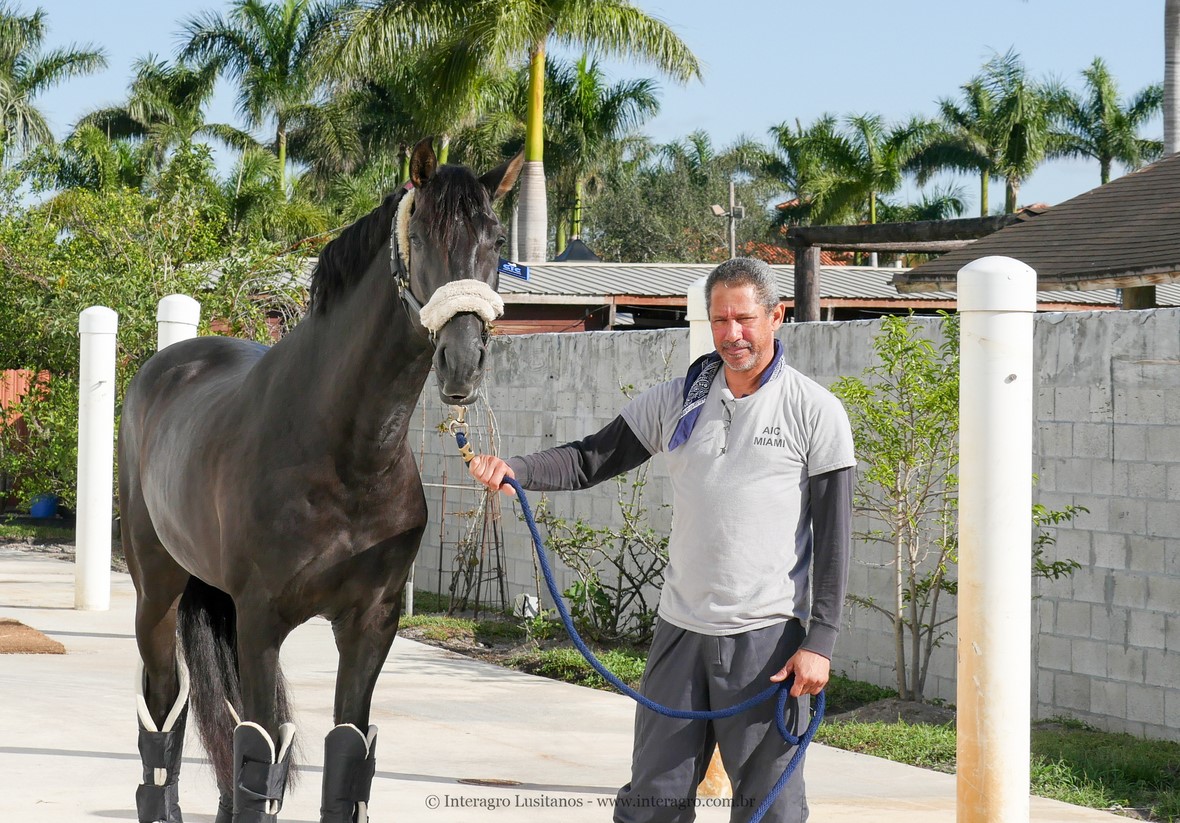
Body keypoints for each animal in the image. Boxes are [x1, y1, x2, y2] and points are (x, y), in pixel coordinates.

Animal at [118, 137, 523, 823]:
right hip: (157, 593)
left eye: (495, 239)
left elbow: (348, 755)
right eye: (422, 234)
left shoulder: (370, 624)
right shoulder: (260, 623)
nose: (462, 362)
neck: (346, 457)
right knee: (163, 712)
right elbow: (260, 753)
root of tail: (162, 368)